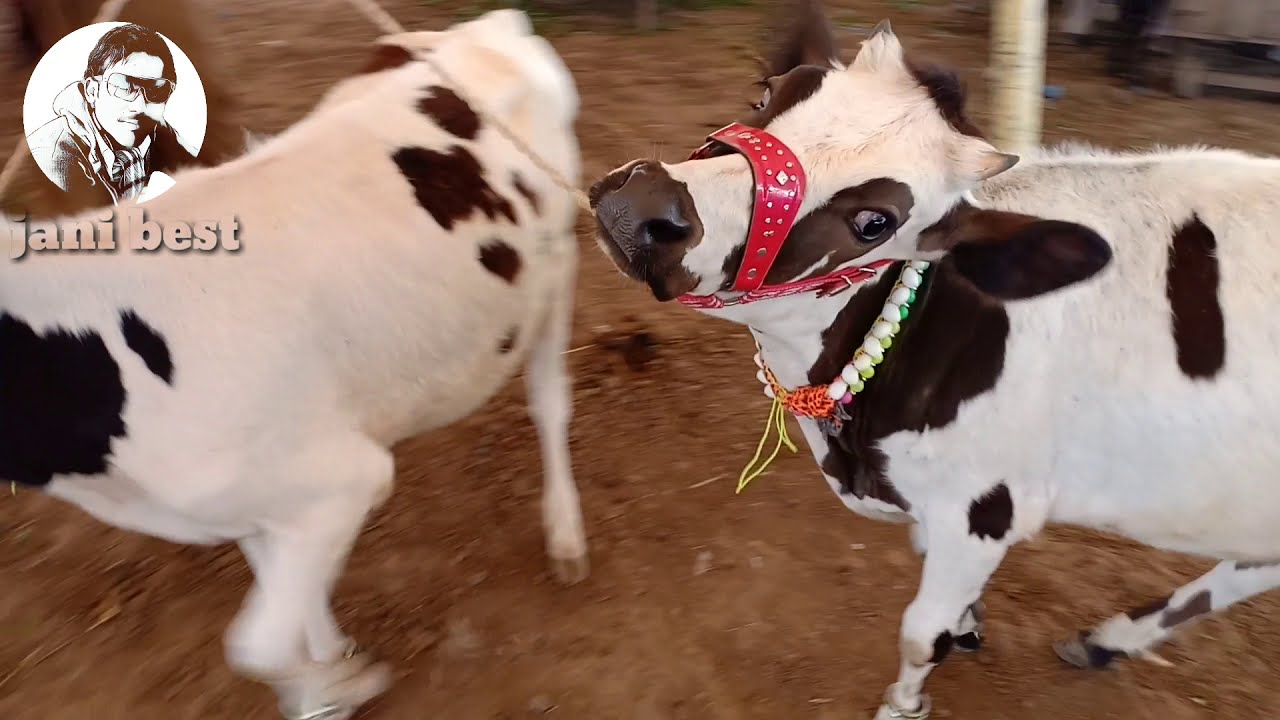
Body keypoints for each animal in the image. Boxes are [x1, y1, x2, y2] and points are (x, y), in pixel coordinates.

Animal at [1, 9, 588, 719]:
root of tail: (486, 26)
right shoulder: (256, 496)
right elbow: (285, 603)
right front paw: (330, 674)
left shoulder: (348, 478)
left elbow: (254, 647)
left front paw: (336, 683)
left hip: (558, 264)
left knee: (549, 398)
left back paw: (566, 534)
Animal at [588, 1, 1280, 717]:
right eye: (766, 94)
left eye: (874, 222)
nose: (640, 208)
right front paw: (969, 621)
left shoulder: (982, 511)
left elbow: (922, 633)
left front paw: (904, 702)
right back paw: (1106, 641)